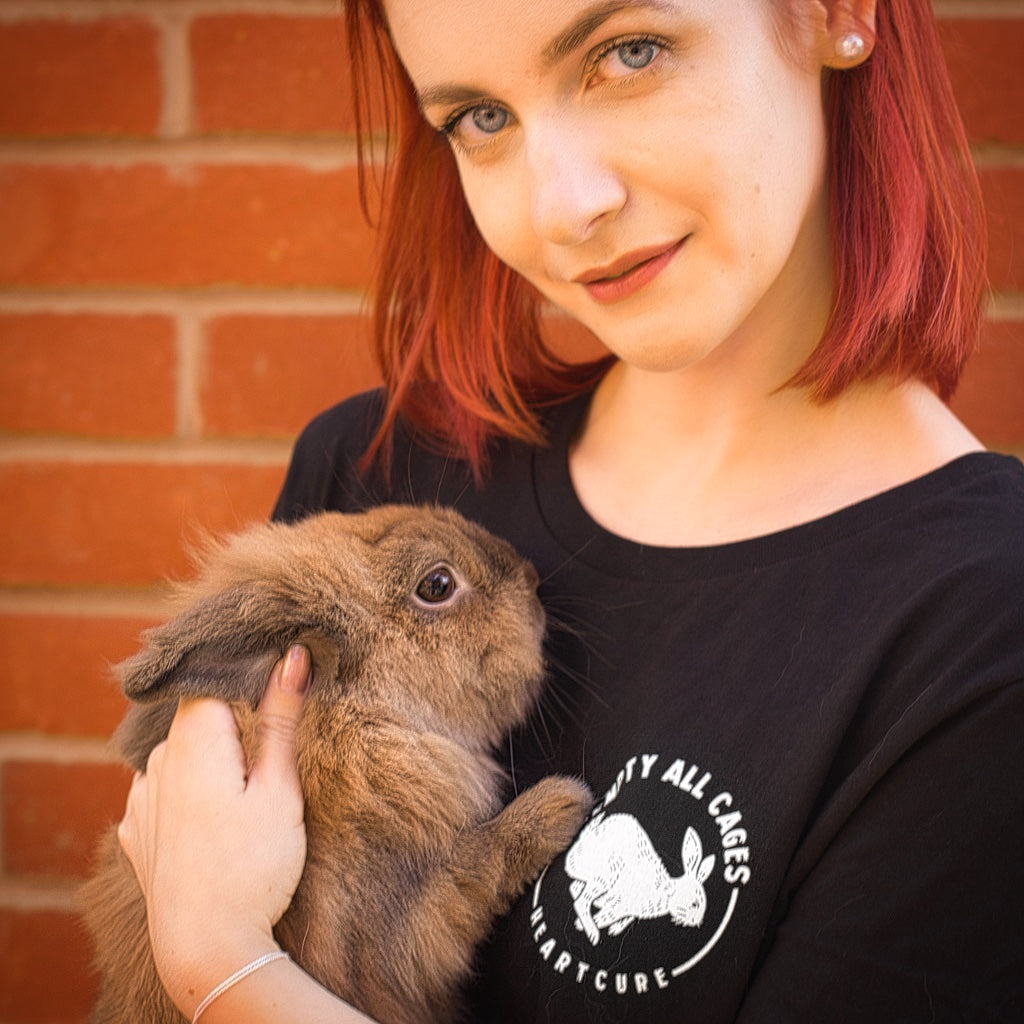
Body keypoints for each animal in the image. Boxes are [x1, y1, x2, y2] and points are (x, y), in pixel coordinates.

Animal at [79, 504, 592, 1024]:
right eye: (437, 585)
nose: (531, 580)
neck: (350, 724)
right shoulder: (410, 918)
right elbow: (480, 865)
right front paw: (561, 803)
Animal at [565, 813, 714, 946]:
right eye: (694, 904)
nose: (697, 922)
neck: (666, 892)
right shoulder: (622, 905)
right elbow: (607, 916)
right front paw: (584, 925)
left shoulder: (629, 910)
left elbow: (622, 917)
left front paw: (614, 928)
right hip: (605, 875)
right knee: (580, 901)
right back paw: (593, 933)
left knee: (576, 887)